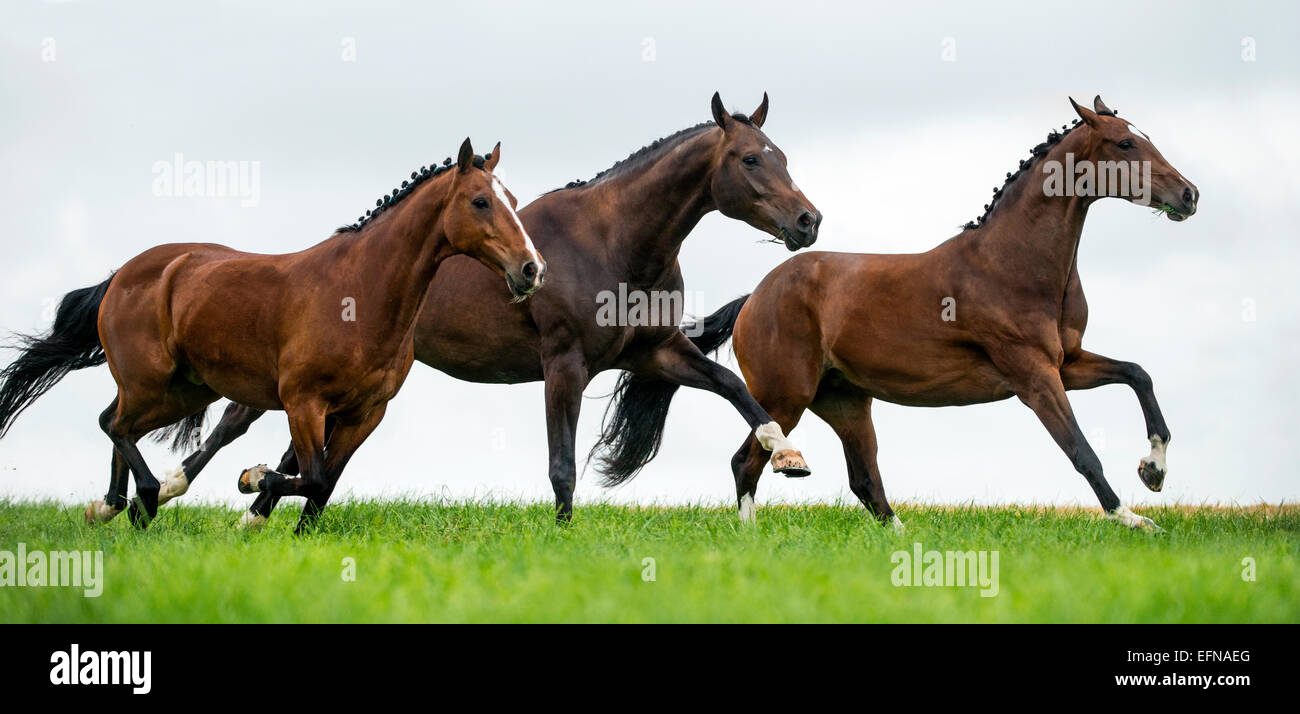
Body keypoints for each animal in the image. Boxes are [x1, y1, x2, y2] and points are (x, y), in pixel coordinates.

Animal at [0, 139, 545, 532]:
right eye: (480, 201)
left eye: (515, 201)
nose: (532, 269)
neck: (359, 292)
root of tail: (124, 275)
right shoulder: (304, 402)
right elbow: (313, 474)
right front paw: (252, 480)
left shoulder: (365, 413)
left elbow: (324, 485)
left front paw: (273, 515)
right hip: (149, 382)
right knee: (114, 425)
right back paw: (145, 498)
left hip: (183, 390)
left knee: (117, 424)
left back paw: (115, 507)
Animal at [120, 92, 822, 527]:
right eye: (750, 158)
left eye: (783, 156)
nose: (808, 222)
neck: (611, 240)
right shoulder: (564, 365)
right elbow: (562, 465)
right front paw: (564, 535)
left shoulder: (654, 352)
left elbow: (733, 385)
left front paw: (786, 453)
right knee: (233, 423)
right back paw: (180, 492)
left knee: (297, 452)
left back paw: (253, 509)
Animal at [598, 96, 1199, 531]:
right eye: (1125, 142)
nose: (1189, 195)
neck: (1014, 262)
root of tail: (755, 297)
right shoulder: (1034, 376)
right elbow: (1081, 450)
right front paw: (1134, 518)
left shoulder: (1066, 362)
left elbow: (1138, 375)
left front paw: (1153, 471)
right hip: (785, 396)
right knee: (749, 459)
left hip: (846, 403)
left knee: (864, 481)